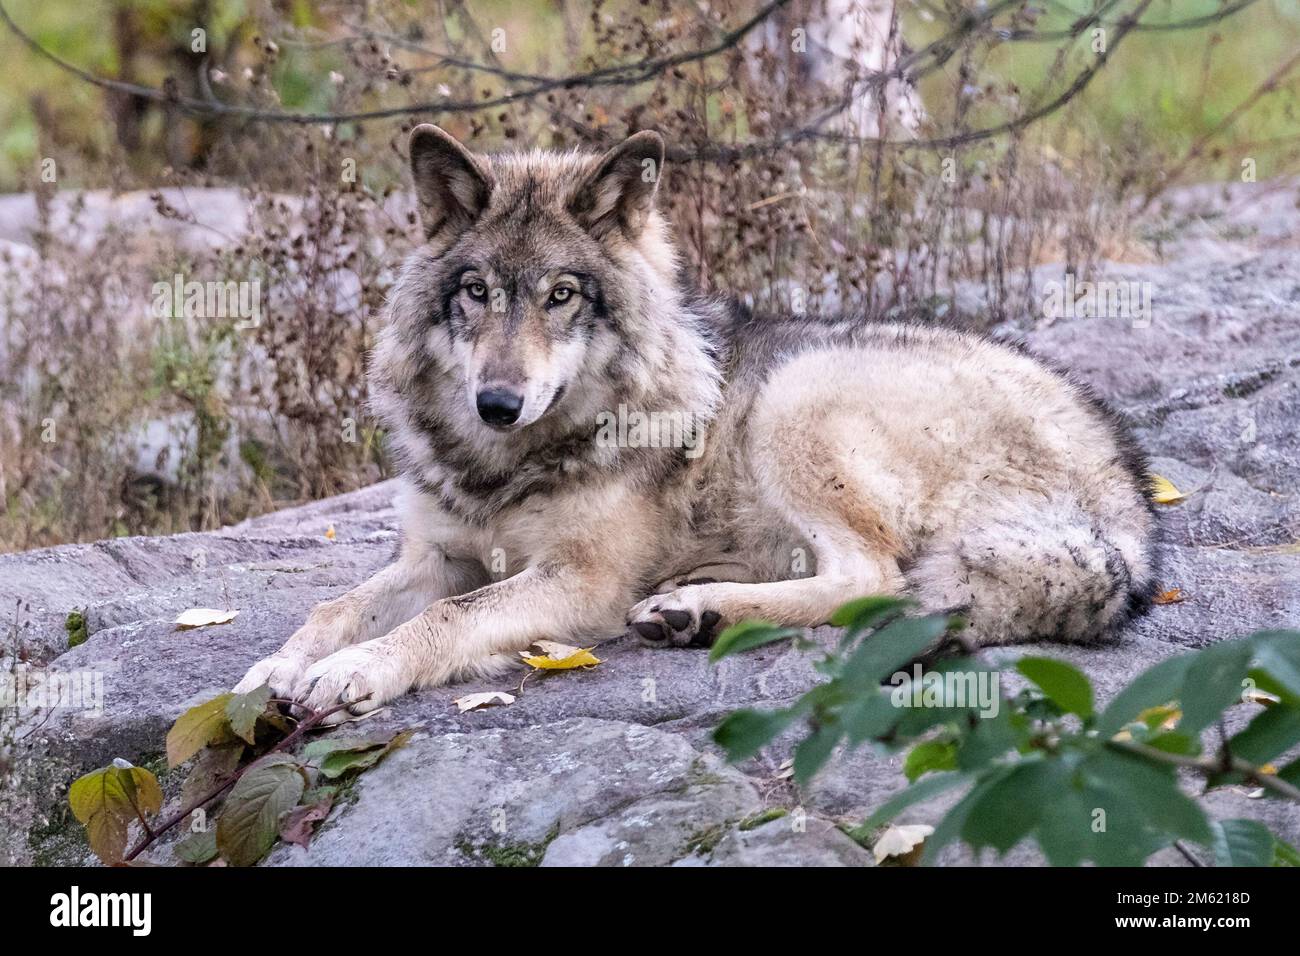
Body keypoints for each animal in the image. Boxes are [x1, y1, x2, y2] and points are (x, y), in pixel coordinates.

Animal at [233, 125, 1160, 719]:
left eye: (561, 295)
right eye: (476, 292)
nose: (497, 402)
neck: (507, 464)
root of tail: (1129, 497)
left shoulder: (582, 581)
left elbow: (448, 618)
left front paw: (352, 673)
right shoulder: (436, 554)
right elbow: (334, 607)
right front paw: (272, 669)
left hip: (797, 397)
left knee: (875, 579)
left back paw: (698, 605)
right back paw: (697, 615)